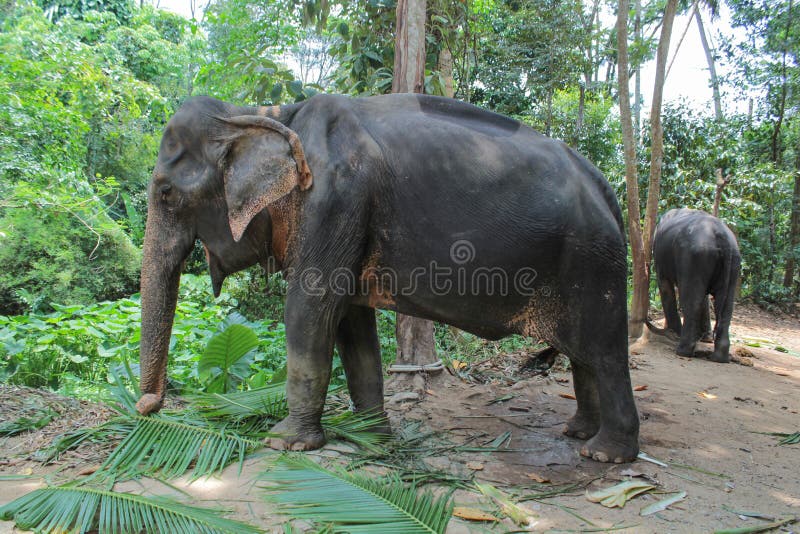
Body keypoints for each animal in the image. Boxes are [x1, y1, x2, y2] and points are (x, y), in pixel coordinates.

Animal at [135, 93, 640, 463]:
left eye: (166, 194)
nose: (147, 408)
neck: (268, 113)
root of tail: (605, 187)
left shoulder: (334, 199)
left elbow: (310, 309)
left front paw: (285, 443)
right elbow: (351, 324)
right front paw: (372, 438)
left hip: (592, 263)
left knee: (606, 353)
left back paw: (607, 455)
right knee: (583, 355)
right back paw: (578, 433)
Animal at [648, 208, 741, 363]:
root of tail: (721, 235)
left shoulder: (660, 258)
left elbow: (665, 286)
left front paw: (675, 333)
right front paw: (706, 338)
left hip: (694, 257)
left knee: (691, 302)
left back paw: (682, 350)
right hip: (733, 261)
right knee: (726, 306)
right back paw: (719, 357)